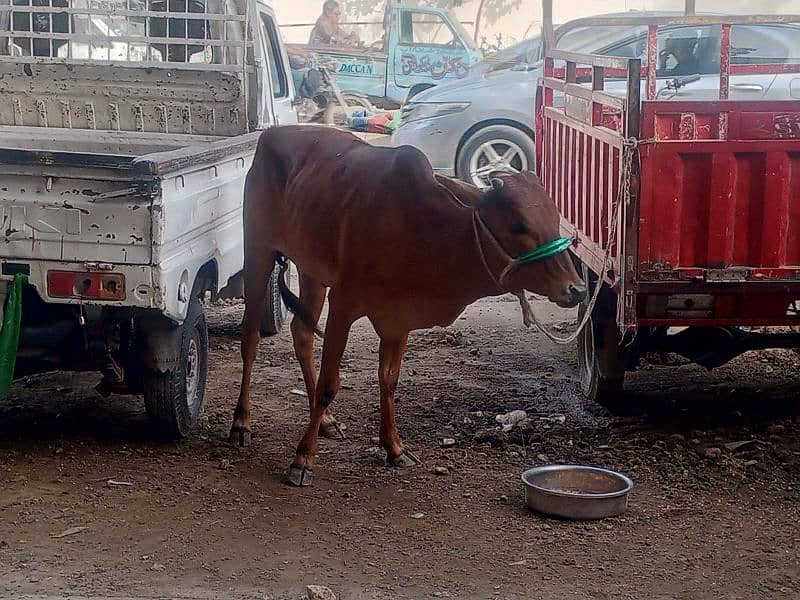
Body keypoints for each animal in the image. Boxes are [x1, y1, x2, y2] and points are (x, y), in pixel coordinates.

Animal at [230, 125, 586, 486]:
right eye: (518, 225)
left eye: (555, 218)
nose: (578, 288)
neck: (423, 228)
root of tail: (271, 133)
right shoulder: (343, 305)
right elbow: (330, 384)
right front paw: (303, 459)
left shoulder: (399, 317)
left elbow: (389, 380)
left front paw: (394, 448)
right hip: (258, 250)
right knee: (251, 338)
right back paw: (241, 423)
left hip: (311, 269)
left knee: (302, 333)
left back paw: (327, 421)